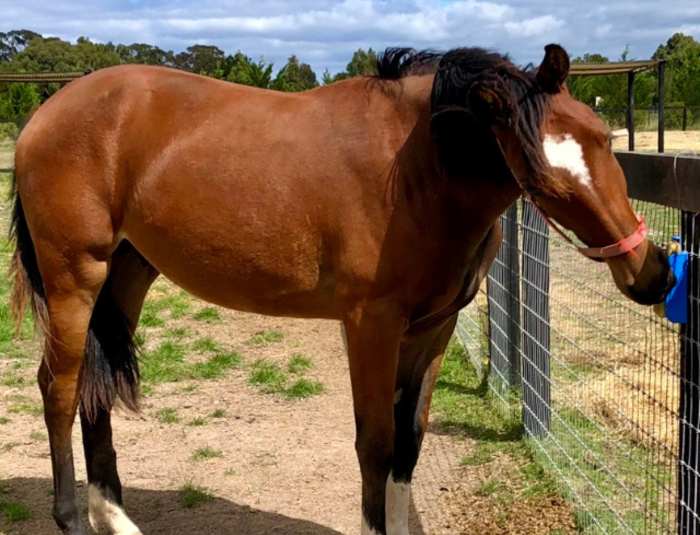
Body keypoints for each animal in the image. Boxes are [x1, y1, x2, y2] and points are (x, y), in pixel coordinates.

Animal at [8, 43, 674, 535]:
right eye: (541, 180)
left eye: (604, 139)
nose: (653, 276)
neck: (415, 171)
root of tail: (46, 113)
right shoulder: (371, 327)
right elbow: (375, 444)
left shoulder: (432, 330)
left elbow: (409, 441)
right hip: (76, 278)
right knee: (59, 389)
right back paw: (72, 518)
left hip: (127, 275)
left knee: (94, 390)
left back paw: (115, 517)